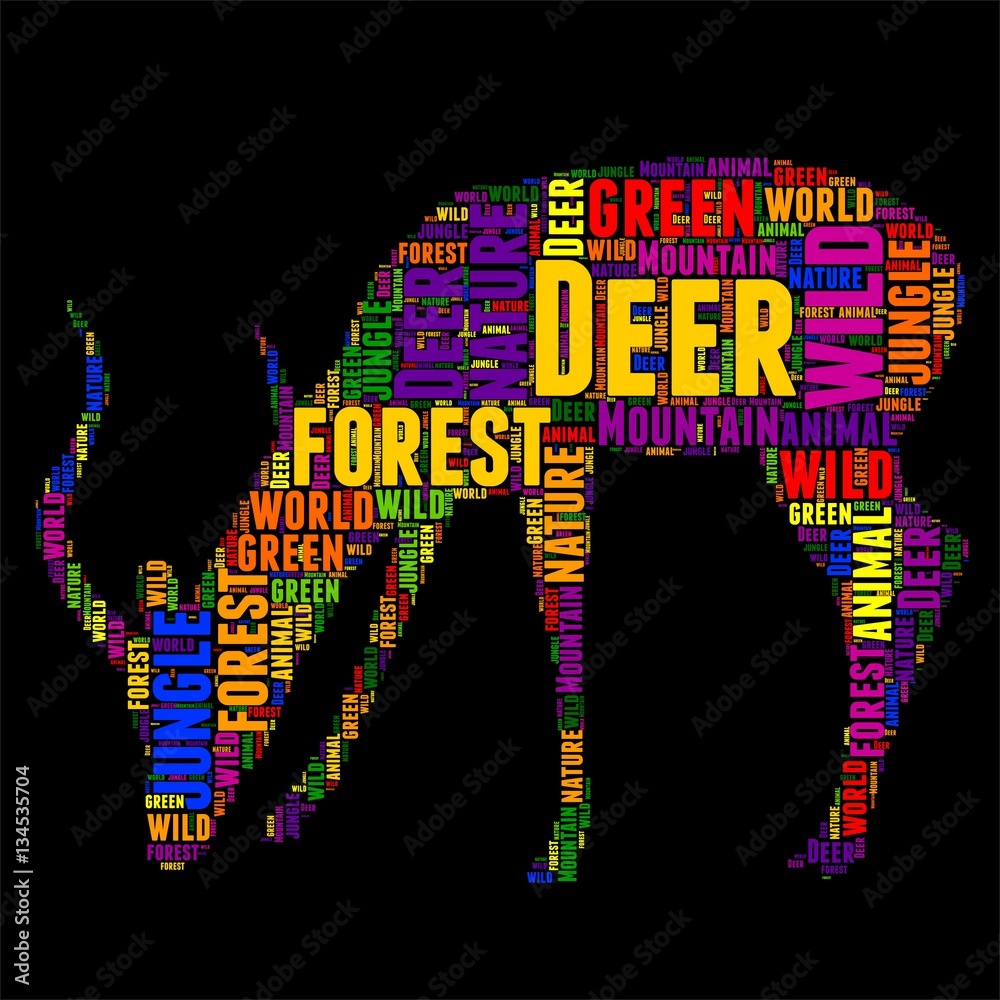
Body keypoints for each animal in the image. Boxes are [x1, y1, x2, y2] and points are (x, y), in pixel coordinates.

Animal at [36, 154, 967, 886]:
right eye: (136, 708)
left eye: (223, 684)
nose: (167, 842)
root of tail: (947, 264)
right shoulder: (432, 502)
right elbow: (383, 632)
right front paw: (293, 814)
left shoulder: (556, 459)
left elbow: (562, 643)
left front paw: (556, 857)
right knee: (930, 550)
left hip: (825, 444)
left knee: (897, 577)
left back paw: (831, 846)